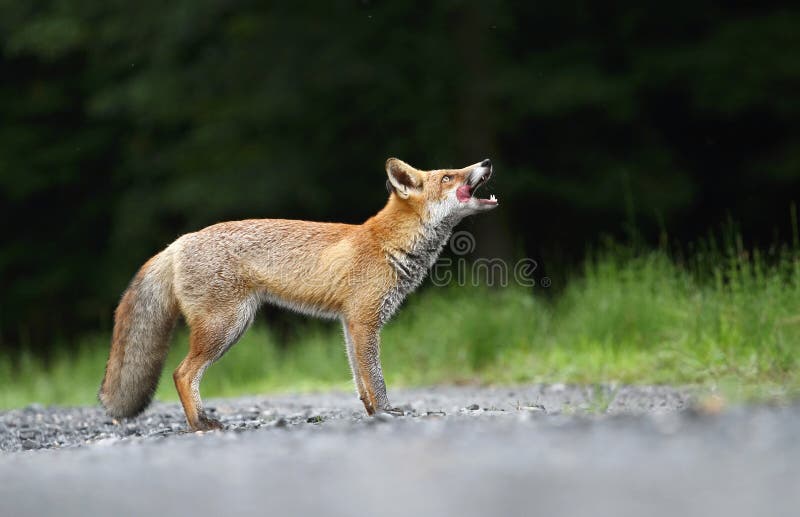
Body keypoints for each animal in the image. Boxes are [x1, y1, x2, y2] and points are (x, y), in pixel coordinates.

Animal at [99, 157, 499, 431]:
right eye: (448, 176)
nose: (486, 162)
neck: (386, 245)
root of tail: (179, 242)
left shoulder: (350, 324)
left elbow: (360, 381)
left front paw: (372, 413)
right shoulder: (365, 321)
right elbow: (377, 378)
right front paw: (387, 413)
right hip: (227, 327)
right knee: (181, 374)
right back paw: (201, 424)